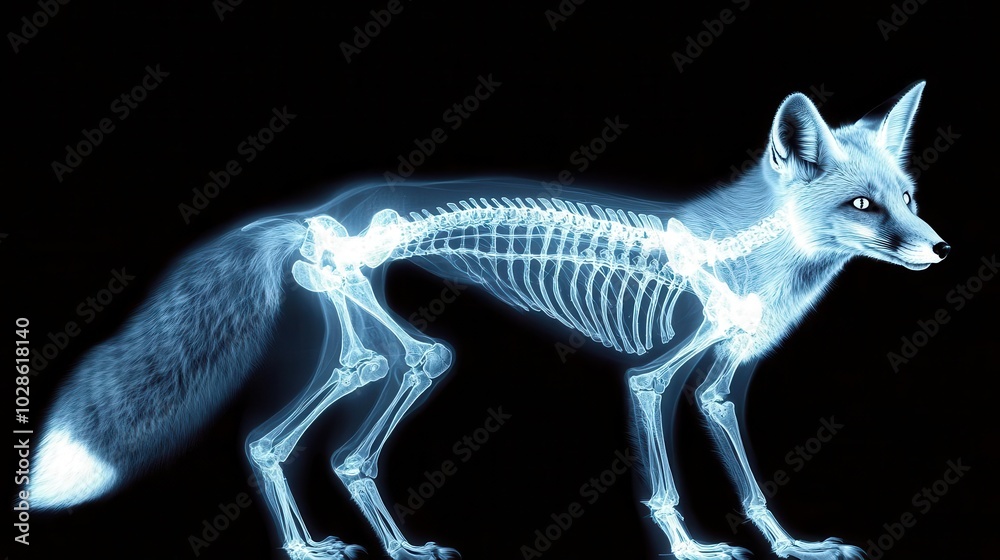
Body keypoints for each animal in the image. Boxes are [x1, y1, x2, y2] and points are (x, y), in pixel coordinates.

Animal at [30, 81, 948, 560]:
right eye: (860, 205)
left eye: (906, 194)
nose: (937, 248)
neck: (759, 249)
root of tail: (319, 213)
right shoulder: (659, 370)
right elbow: (661, 452)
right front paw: (690, 550)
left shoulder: (727, 374)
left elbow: (740, 453)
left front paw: (793, 547)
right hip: (383, 321)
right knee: (381, 383)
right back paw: (324, 548)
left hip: (349, 319)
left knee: (304, 432)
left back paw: (365, 550)